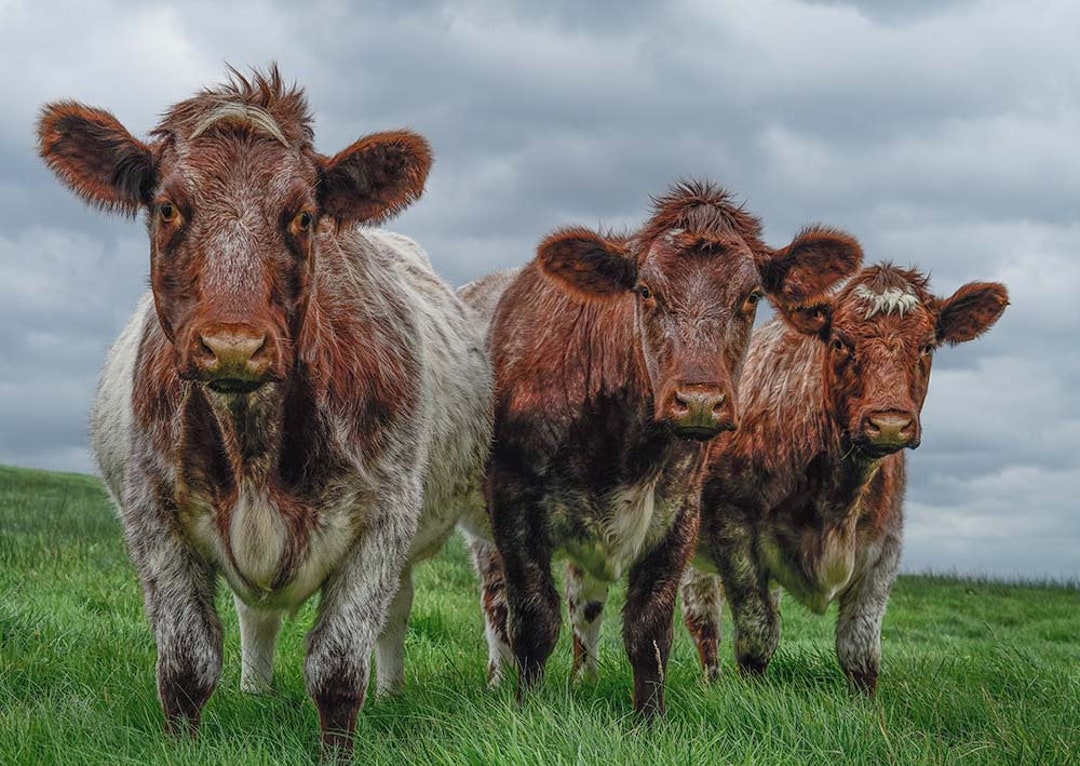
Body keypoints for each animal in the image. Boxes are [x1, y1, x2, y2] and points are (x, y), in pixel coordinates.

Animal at [36, 67, 492, 754]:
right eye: (167, 207)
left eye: (304, 216)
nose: (233, 345)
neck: (254, 438)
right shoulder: (151, 512)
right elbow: (187, 664)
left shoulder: (385, 516)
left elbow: (338, 667)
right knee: (257, 616)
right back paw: (256, 692)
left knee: (395, 611)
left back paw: (391, 694)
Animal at [470, 181, 863, 716]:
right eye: (645, 291)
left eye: (751, 296)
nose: (699, 401)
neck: (623, 447)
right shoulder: (512, 502)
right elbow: (532, 618)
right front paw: (526, 710)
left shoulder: (680, 513)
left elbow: (649, 629)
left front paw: (647, 720)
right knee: (497, 603)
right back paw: (496, 681)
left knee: (584, 602)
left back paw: (582, 680)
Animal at [683, 263, 1009, 693]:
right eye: (839, 342)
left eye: (927, 346)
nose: (889, 423)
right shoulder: (733, 531)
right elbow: (757, 632)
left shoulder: (886, 545)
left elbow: (860, 645)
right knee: (702, 618)